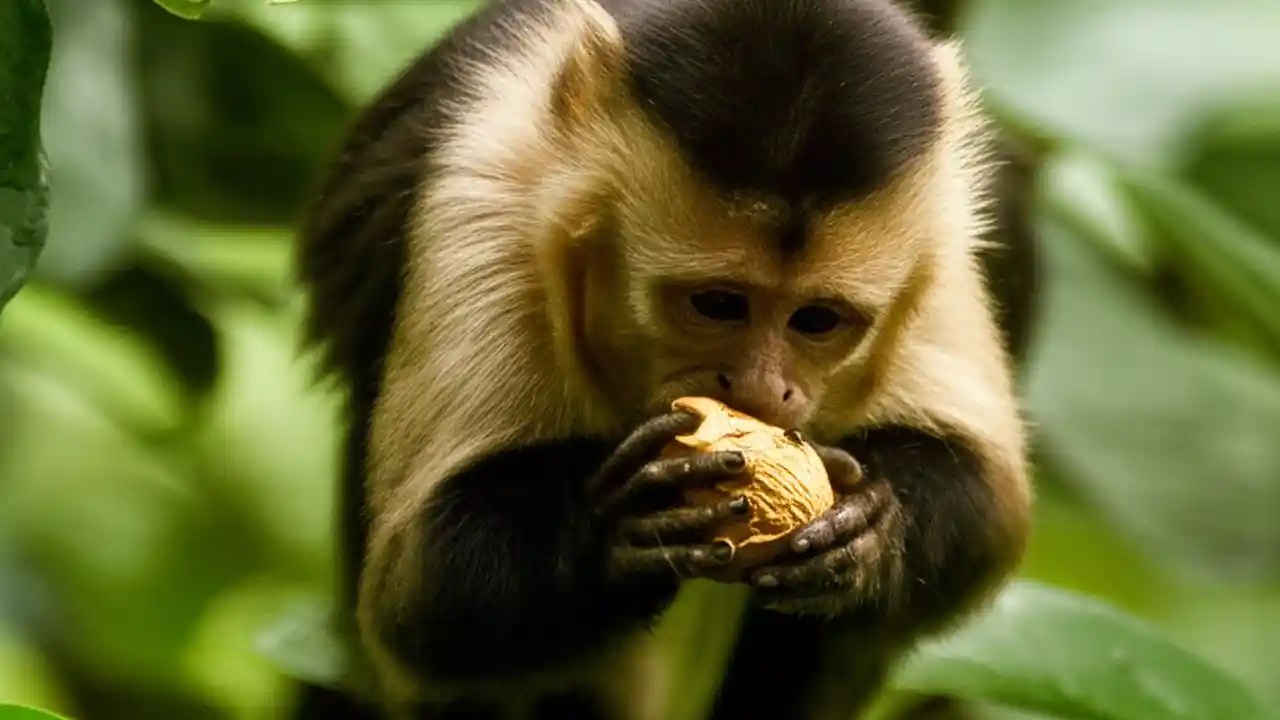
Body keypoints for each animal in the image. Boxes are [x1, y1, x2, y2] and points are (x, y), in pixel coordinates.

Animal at [292, 0, 1033, 718]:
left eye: (817, 320)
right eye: (718, 304)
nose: (761, 387)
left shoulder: (943, 228)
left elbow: (992, 507)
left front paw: (875, 523)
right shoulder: (483, 195)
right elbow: (419, 599)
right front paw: (611, 532)